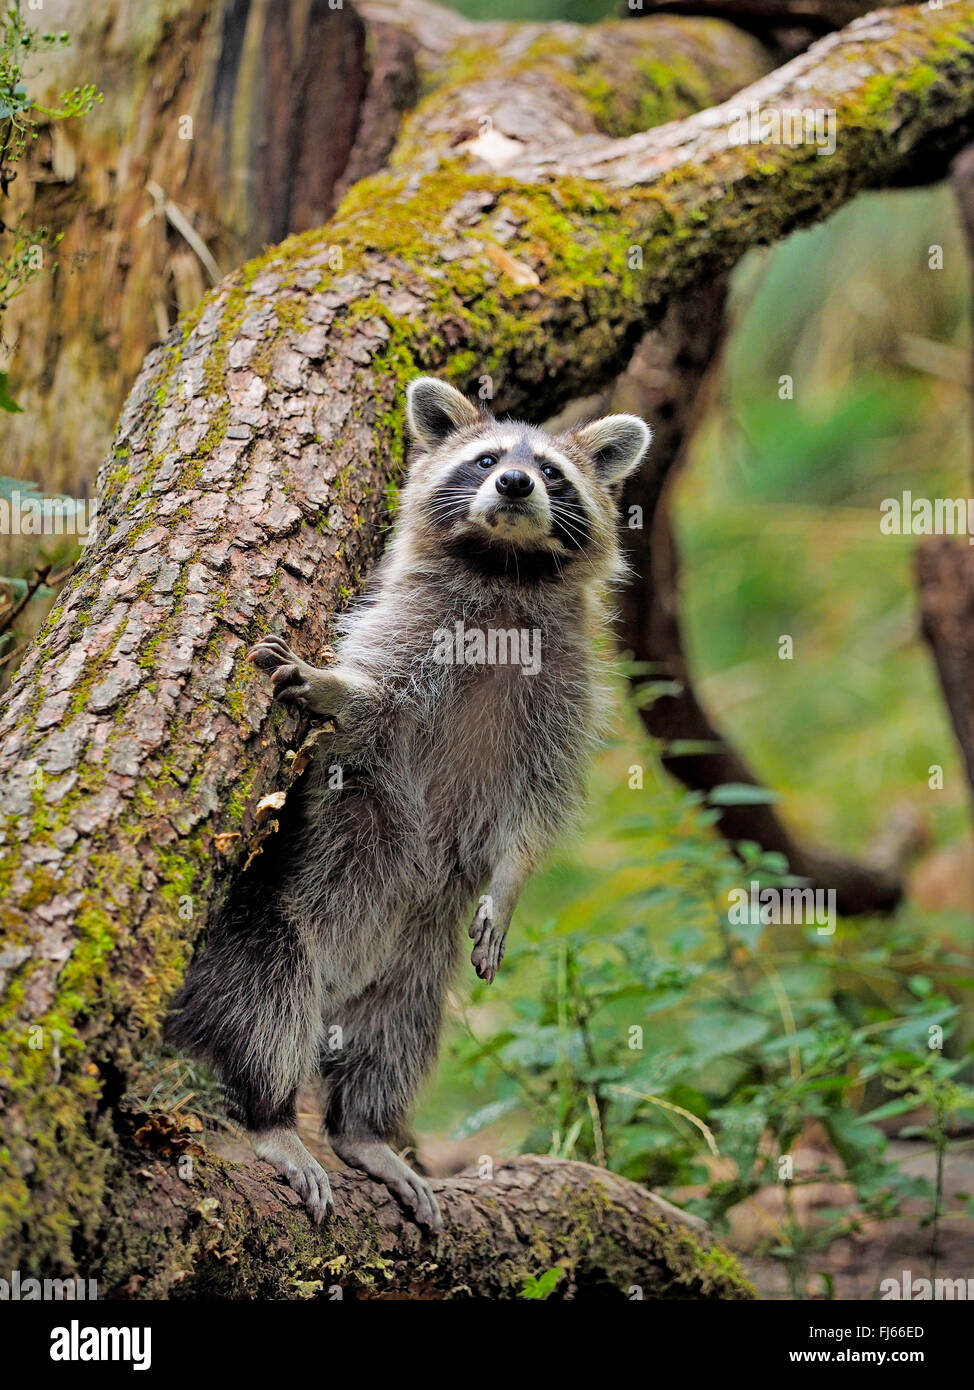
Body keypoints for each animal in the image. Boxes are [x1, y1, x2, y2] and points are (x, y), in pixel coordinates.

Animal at [166, 377, 651, 1229]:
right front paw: (335, 690)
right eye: (486, 459)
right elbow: (371, 706)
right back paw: (273, 1119)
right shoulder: (403, 634)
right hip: (264, 927)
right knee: (265, 1008)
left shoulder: (566, 691)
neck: (505, 572)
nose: (515, 483)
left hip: (418, 959)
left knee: (395, 1040)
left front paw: (511, 881)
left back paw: (364, 1132)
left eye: (551, 471)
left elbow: (539, 805)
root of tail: (341, 985)